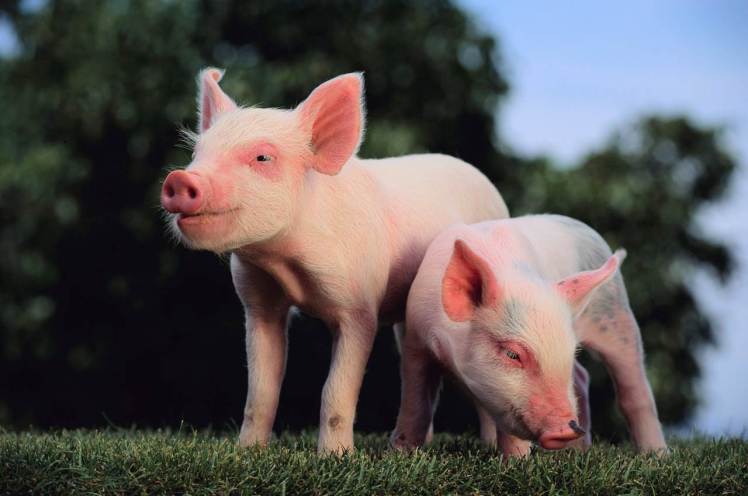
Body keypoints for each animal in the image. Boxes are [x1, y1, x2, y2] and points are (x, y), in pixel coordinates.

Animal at [160, 68, 509, 453]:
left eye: (263, 158)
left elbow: (336, 389)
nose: (179, 178)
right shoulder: (258, 304)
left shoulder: (359, 305)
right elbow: (260, 389)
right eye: (197, 152)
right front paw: (248, 451)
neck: (285, 262)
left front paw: (335, 456)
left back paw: (487, 446)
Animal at [390, 215, 667, 458]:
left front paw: (515, 466)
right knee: (581, 376)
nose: (567, 429)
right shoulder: (416, 339)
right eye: (513, 354)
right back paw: (578, 451)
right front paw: (401, 453)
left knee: (634, 389)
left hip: (615, 315)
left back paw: (656, 456)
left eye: (570, 352)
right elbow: (415, 402)